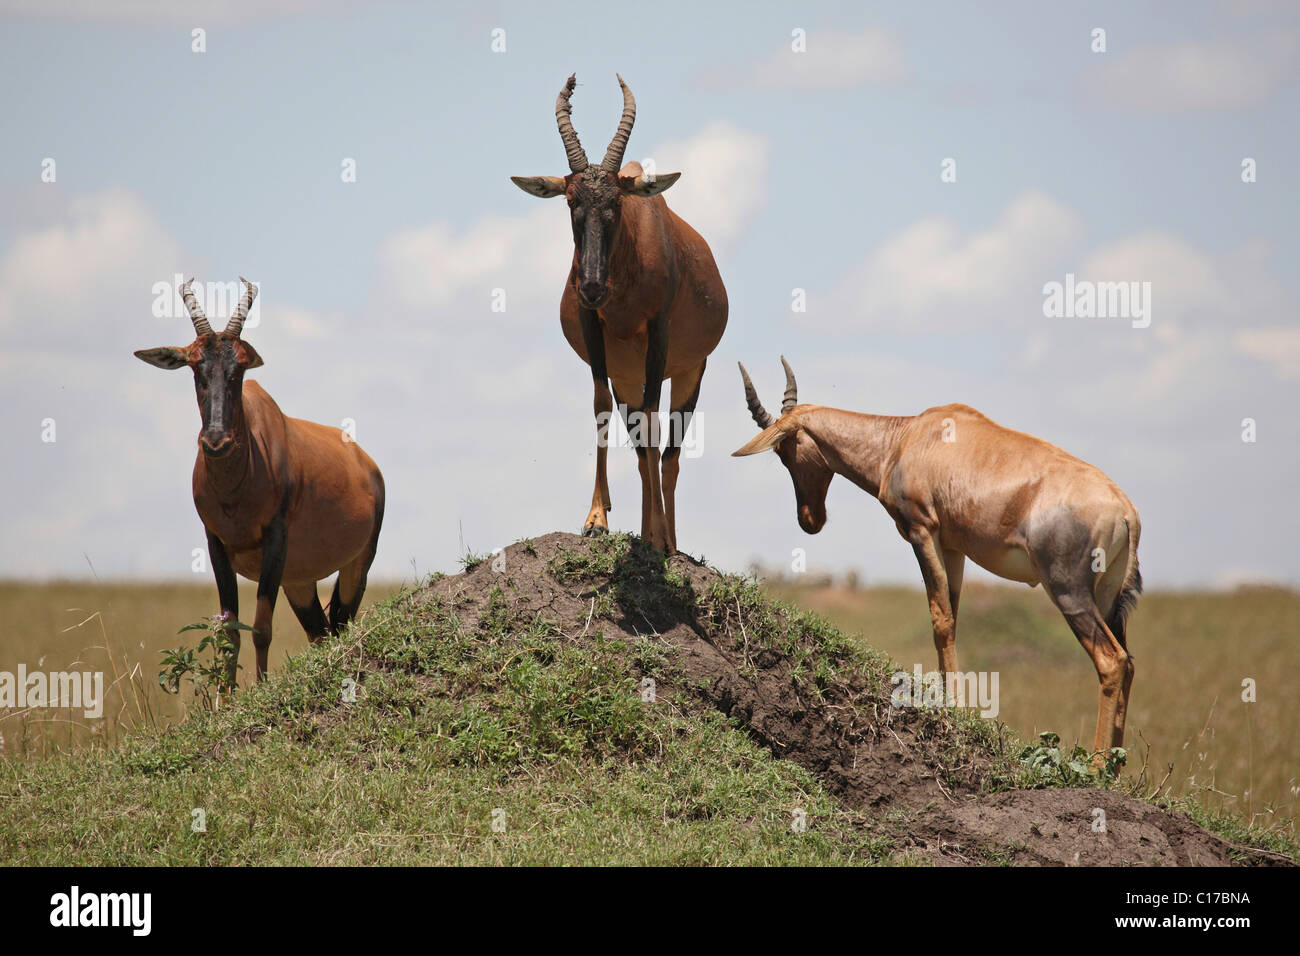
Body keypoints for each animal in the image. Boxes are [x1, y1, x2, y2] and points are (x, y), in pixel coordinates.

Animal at [134, 277, 385, 684]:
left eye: (238, 370)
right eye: (195, 368)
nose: (216, 441)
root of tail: (367, 464)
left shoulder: (275, 540)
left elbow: (262, 630)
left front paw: (262, 688)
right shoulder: (216, 544)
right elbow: (229, 633)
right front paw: (225, 695)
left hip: (356, 564)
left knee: (340, 623)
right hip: (298, 579)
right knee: (320, 632)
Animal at [511, 74, 728, 553]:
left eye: (617, 202)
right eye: (570, 200)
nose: (592, 286)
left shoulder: (659, 333)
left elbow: (657, 428)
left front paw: (655, 536)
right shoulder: (594, 330)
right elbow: (600, 406)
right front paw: (596, 520)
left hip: (689, 371)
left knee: (669, 450)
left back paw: (670, 540)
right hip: (625, 373)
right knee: (640, 438)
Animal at [733, 360, 1142, 760]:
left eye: (784, 450)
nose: (809, 520)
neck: (907, 437)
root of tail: (1125, 510)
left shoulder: (922, 530)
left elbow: (939, 620)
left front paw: (954, 709)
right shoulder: (953, 547)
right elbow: (951, 618)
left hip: (1068, 590)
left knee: (1111, 660)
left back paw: (1097, 765)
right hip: (1106, 596)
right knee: (1130, 662)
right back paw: (1115, 765)